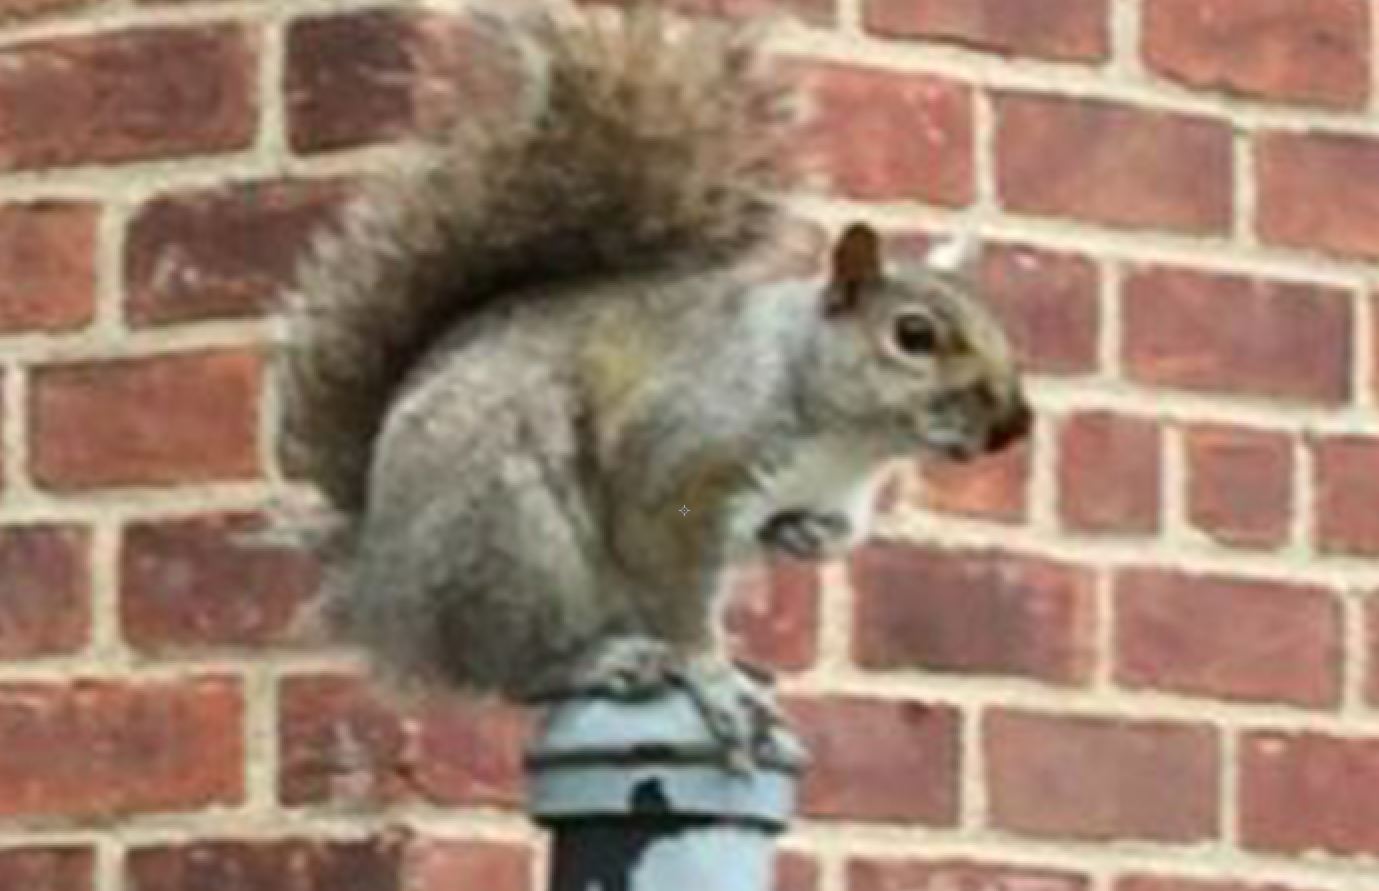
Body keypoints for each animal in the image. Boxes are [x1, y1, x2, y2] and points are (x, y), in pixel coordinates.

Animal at [276, 2, 1031, 767]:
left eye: (999, 324)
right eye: (914, 335)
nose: (1014, 425)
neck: (840, 438)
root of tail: (379, 587)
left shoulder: (833, 493)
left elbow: (832, 533)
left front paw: (807, 538)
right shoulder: (685, 470)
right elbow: (678, 586)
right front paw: (713, 676)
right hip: (509, 539)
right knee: (504, 668)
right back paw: (601, 661)